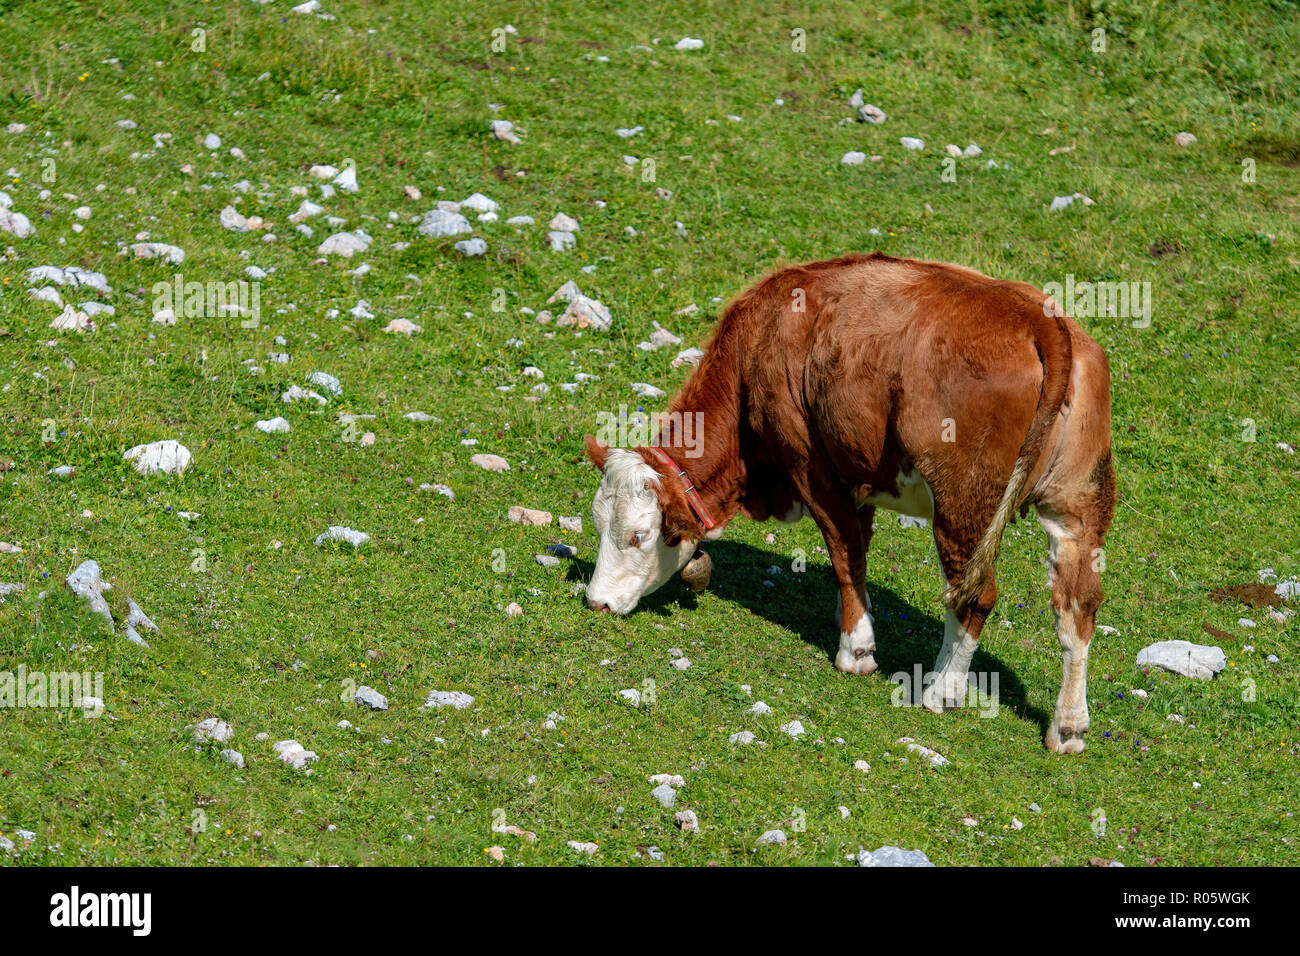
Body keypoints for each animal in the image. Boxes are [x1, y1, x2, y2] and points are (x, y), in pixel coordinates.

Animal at [583, 253, 1116, 753]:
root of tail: (1038, 315)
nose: (596, 601)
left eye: (639, 536)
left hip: (963, 503)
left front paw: (856, 650)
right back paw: (1068, 726)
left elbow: (845, 556)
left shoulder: (812, 467)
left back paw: (941, 690)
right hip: (1079, 504)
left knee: (975, 595)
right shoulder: (859, 475)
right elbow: (858, 550)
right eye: (598, 525)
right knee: (1078, 604)